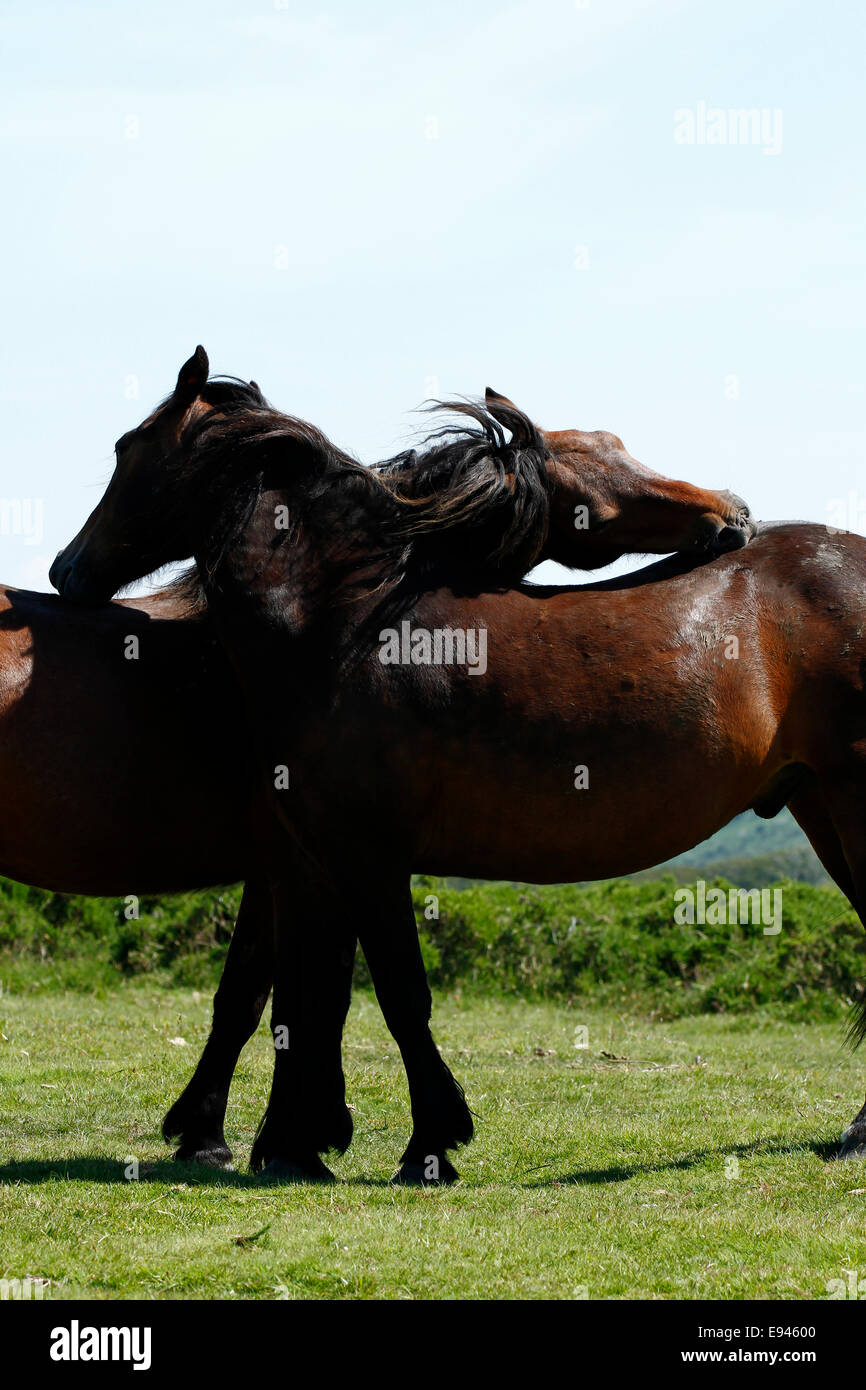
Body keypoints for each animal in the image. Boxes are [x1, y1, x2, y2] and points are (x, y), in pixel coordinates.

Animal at [51, 351, 866, 1184]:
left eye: (125, 450)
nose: (66, 570)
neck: (352, 624)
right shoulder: (317, 860)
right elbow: (311, 999)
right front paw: (306, 1139)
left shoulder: (367, 857)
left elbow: (394, 997)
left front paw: (426, 1146)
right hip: (822, 809)